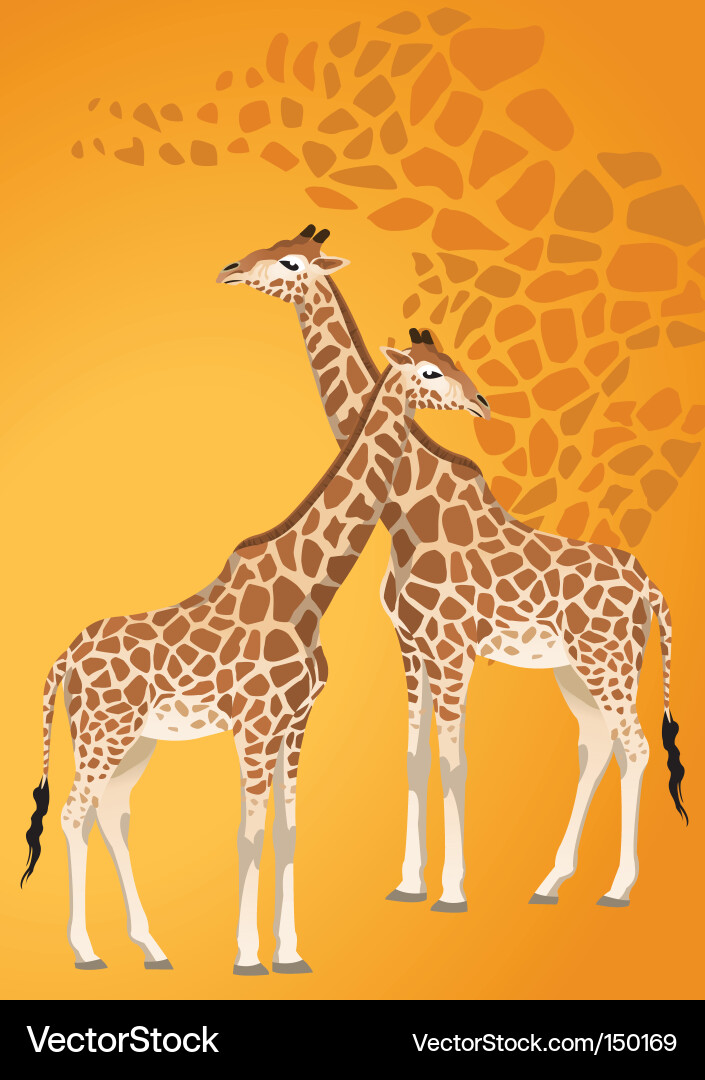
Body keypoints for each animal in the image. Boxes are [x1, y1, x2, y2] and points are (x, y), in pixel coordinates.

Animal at [21, 331, 489, 973]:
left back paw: (151, 947)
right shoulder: (255, 724)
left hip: (137, 739)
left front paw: (288, 954)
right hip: (102, 731)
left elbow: (286, 832)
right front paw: (246, 956)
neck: (309, 591)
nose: (481, 403)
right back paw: (86, 951)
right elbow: (249, 835)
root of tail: (63, 660)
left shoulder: (295, 723)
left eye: (452, 362)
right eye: (429, 372)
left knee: (111, 814)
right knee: (73, 815)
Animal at [217, 224, 688, 911]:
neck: (404, 505)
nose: (229, 269)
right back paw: (552, 881)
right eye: (272, 248)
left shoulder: (453, 646)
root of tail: (650, 589)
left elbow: (455, 761)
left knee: (636, 746)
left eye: (292, 262)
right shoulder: (412, 645)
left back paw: (619, 887)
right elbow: (416, 760)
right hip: (576, 668)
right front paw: (410, 883)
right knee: (600, 745)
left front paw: (452, 891)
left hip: (611, 662)